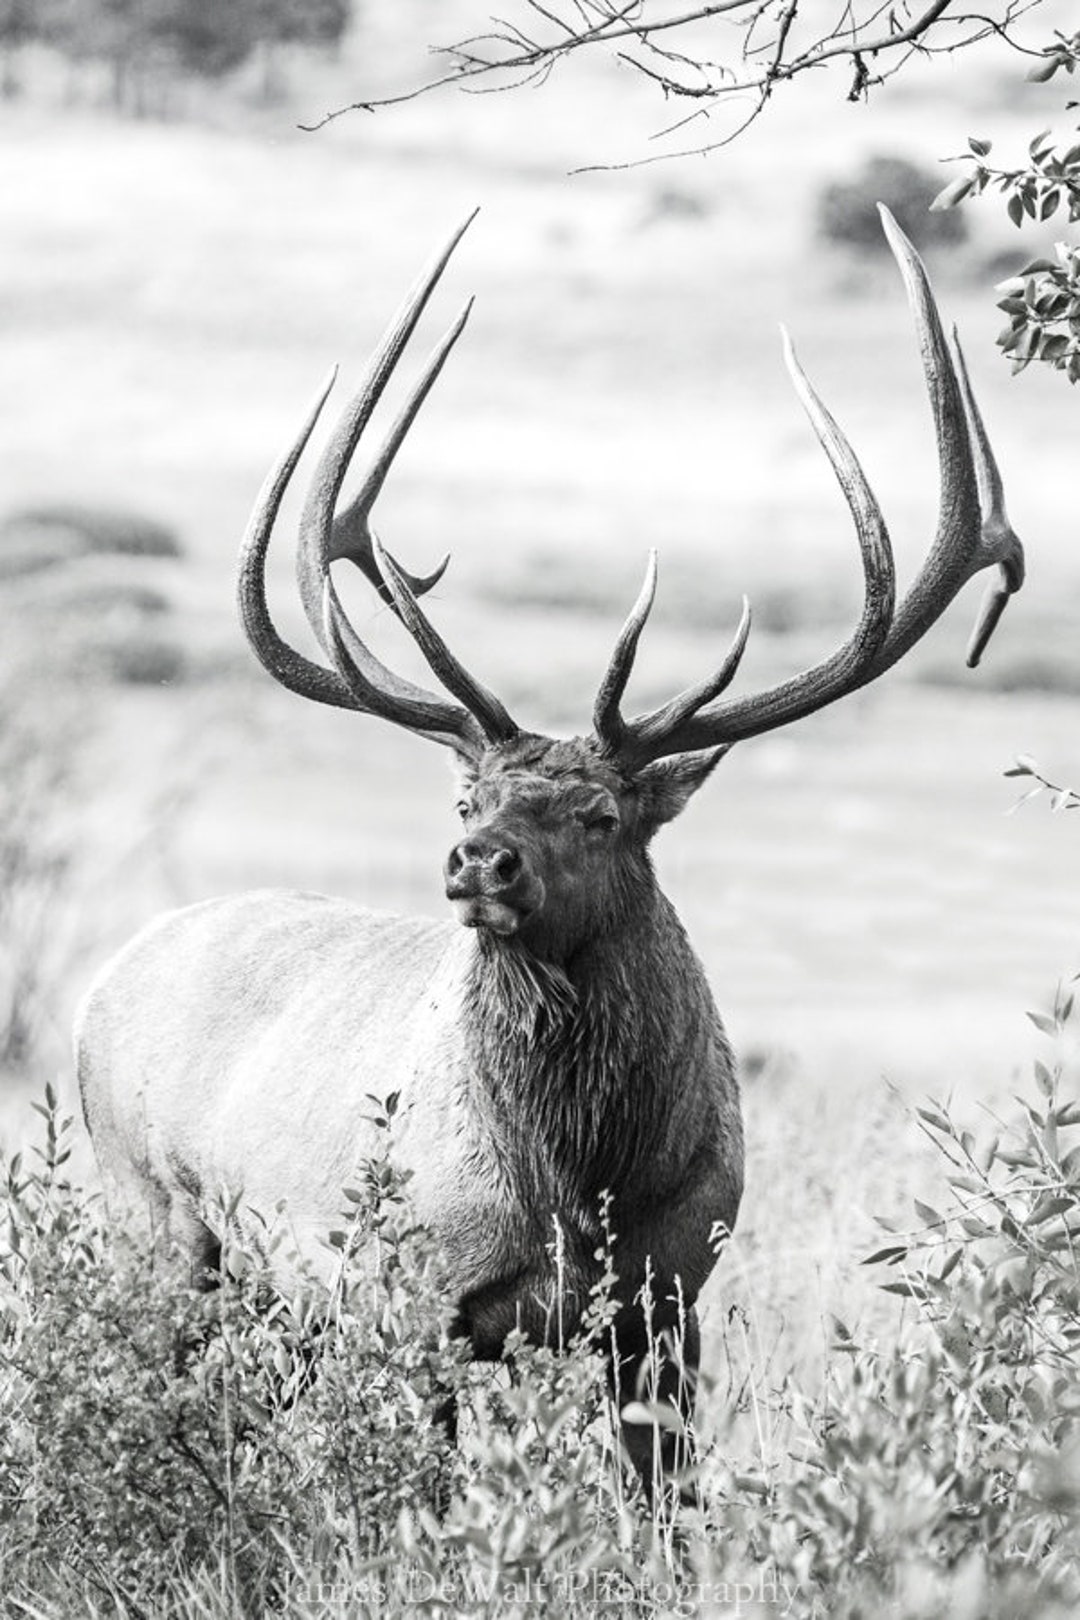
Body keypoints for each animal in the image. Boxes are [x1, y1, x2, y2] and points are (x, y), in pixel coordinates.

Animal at [76, 206, 1024, 1496]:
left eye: (602, 816)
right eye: (466, 795)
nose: (481, 862)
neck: (578, 1187)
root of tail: (104, 978)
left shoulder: (672, 1292)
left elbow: (667, 1502)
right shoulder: (410, 1296)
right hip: (158, 1221)